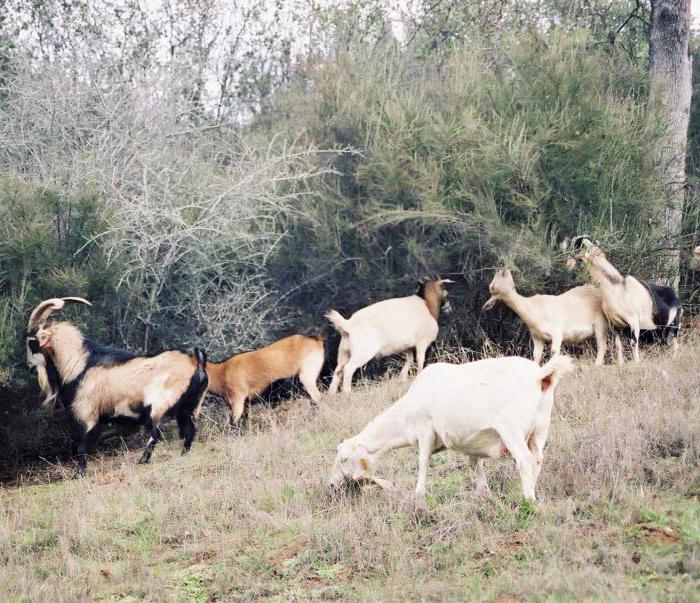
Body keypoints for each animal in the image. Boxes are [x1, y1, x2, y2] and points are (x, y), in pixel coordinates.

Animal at [25, 298, 211, 476]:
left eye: (32, 341)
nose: (30, 366)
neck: (79, 364)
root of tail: (196, 362)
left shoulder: (85, 413)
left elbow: (82, 445)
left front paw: (78, 474)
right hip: (186, 407)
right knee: (189, 431)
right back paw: (182, 456)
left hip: (161, 405)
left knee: (156, 432)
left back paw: (142, 460)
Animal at [324, 278, 452, 396]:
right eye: (445, 291)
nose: (449, 308)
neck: (427, 305)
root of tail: (348, 324)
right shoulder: (422, 342)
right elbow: (420, 360)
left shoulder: (408, 347)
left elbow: (409, 360)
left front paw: (402, 378)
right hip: (362, 352)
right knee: (348, 369)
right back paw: (347, 393)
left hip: (344, 351)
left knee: (338, 370)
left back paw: (332, 394)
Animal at [328, 356, 576, 502]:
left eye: (343, 459)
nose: (330, 484)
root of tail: (540, 376)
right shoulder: (472, 442)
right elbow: (475, 464)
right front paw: (484, 493)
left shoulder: (425, 430)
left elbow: (423, 462)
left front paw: (419, 493)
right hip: (540, 428)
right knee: (537, 459)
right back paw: (533, 489)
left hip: (511, 429)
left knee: (524, 460)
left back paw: (528, 499)